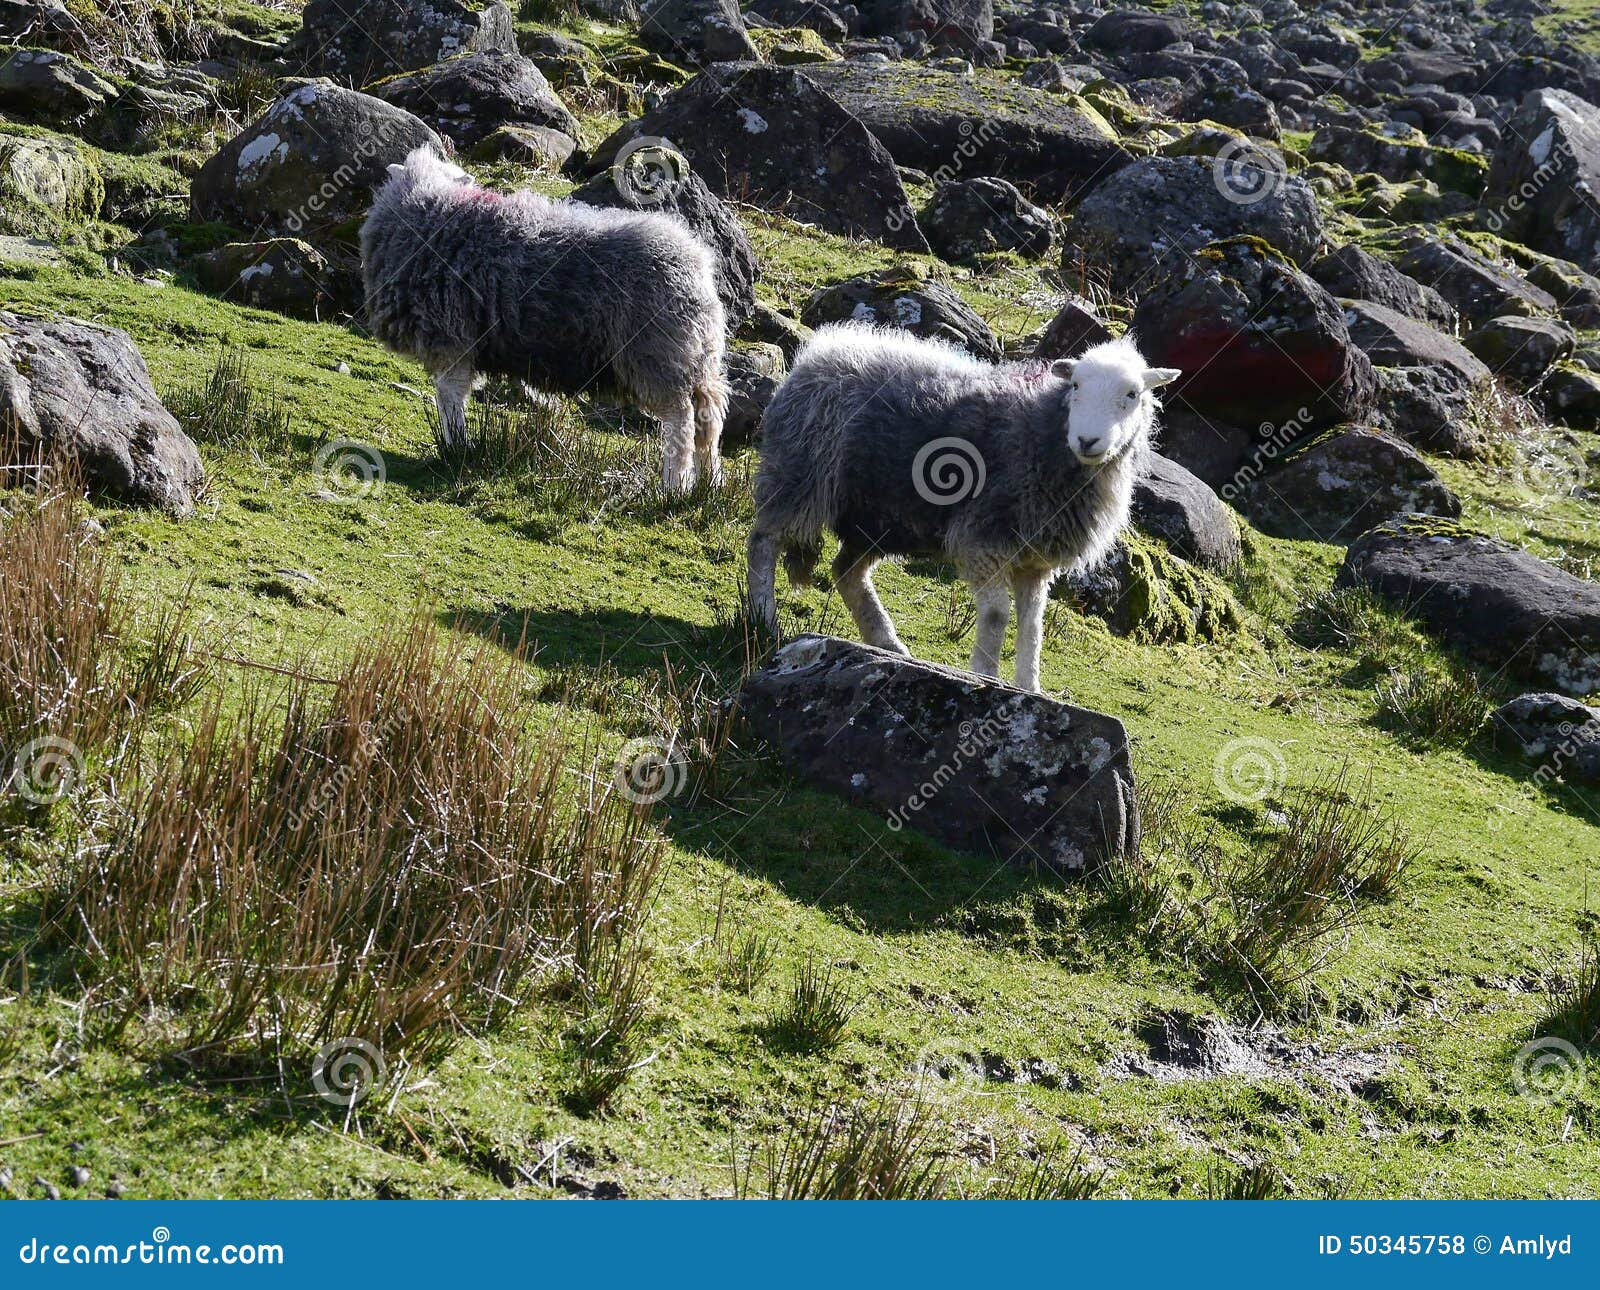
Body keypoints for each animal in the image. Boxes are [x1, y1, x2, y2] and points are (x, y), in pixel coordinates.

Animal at [360, 147, 729, 492]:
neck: (437, 212)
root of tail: (696, 264)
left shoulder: (453, 339)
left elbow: (449, 395)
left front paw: (456, 446)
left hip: (657, 354)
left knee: (680, 420)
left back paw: (674, 484)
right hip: (697, 359)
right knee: (708, 421)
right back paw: (710, 482)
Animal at [747, 324, 1179, 691]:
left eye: (1133, 395)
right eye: (1075, 385)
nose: (1088, 440)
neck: (1043, 435)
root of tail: (818, 353)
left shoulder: (1035, 562)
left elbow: (1032, 626)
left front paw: (1030, 687)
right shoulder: (984, 538)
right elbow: (997, 615)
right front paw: (986, 676)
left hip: (879, 517)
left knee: (846, 572)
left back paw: (886, 642)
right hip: (799, 475)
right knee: (763, 542)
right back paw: (764, 617)